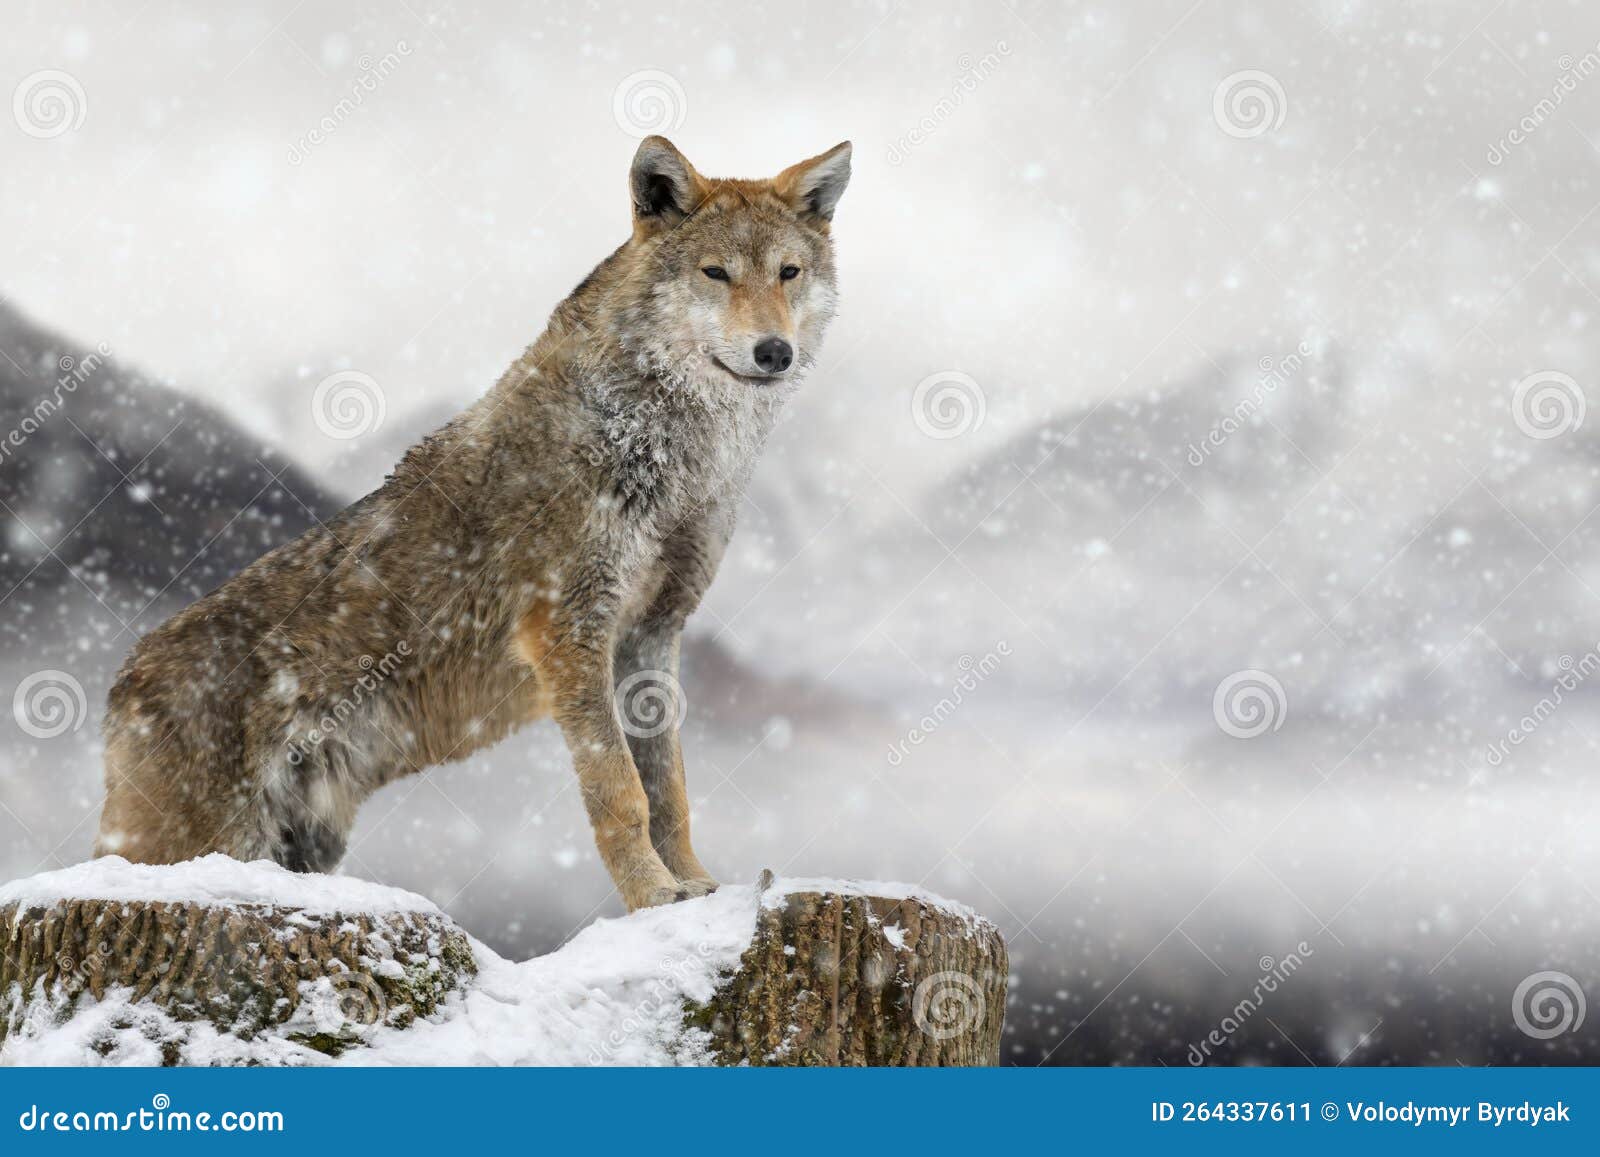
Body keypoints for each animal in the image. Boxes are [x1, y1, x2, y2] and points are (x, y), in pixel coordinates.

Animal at [94, 136, 851, 910]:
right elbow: (620, 793)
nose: (774, 352)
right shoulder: (567, 629)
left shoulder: (652, 633)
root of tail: (121, 681)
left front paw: (695, 886)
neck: (671, 450)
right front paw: (650, 898)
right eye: (716, 273)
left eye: (787, 273)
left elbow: (668, 790)